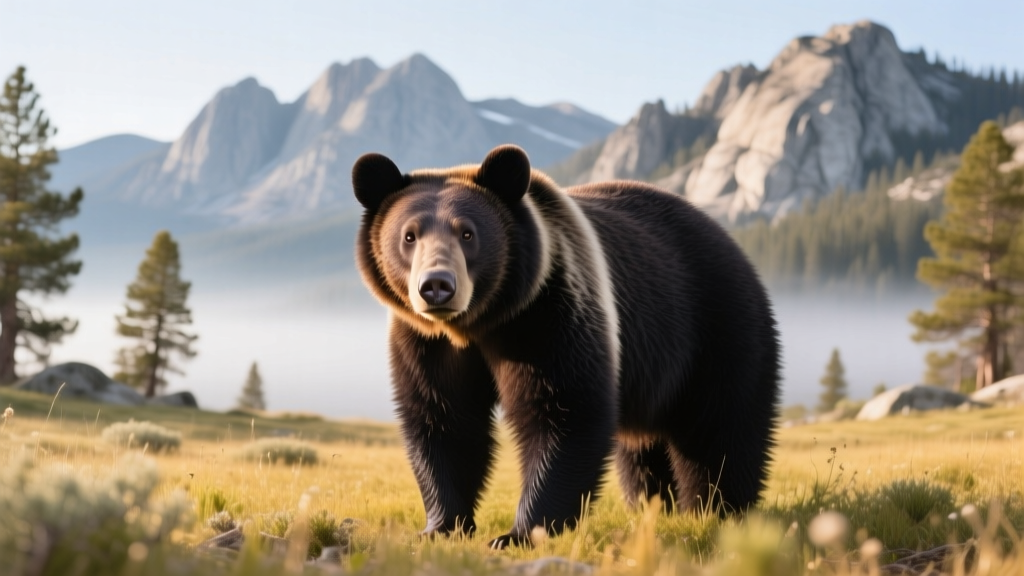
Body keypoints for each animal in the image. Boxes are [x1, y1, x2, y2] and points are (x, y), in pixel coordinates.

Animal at [352, 145, 780, 549]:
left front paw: (519, 533)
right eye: (409, 235)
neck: (477, 323)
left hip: (714, 325)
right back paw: (654, 504)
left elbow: (563, 411)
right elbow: (444, 420)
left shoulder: (548, 313)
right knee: (643, 447)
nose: (437, 286)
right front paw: (442, 527)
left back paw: (716, 509)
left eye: (467, 233)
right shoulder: (426, 343)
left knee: (721, 425)